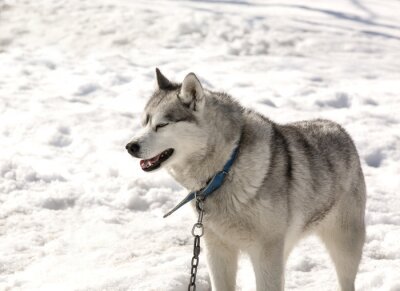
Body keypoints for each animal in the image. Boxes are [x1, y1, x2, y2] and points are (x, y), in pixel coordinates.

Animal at [125, 69, 366, 291]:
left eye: (161, 125)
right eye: (144, 122)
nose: (130, 146)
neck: (224, 170)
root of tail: (339, 129)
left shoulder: (266, 254)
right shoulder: (217, 250)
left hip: (344, 246)